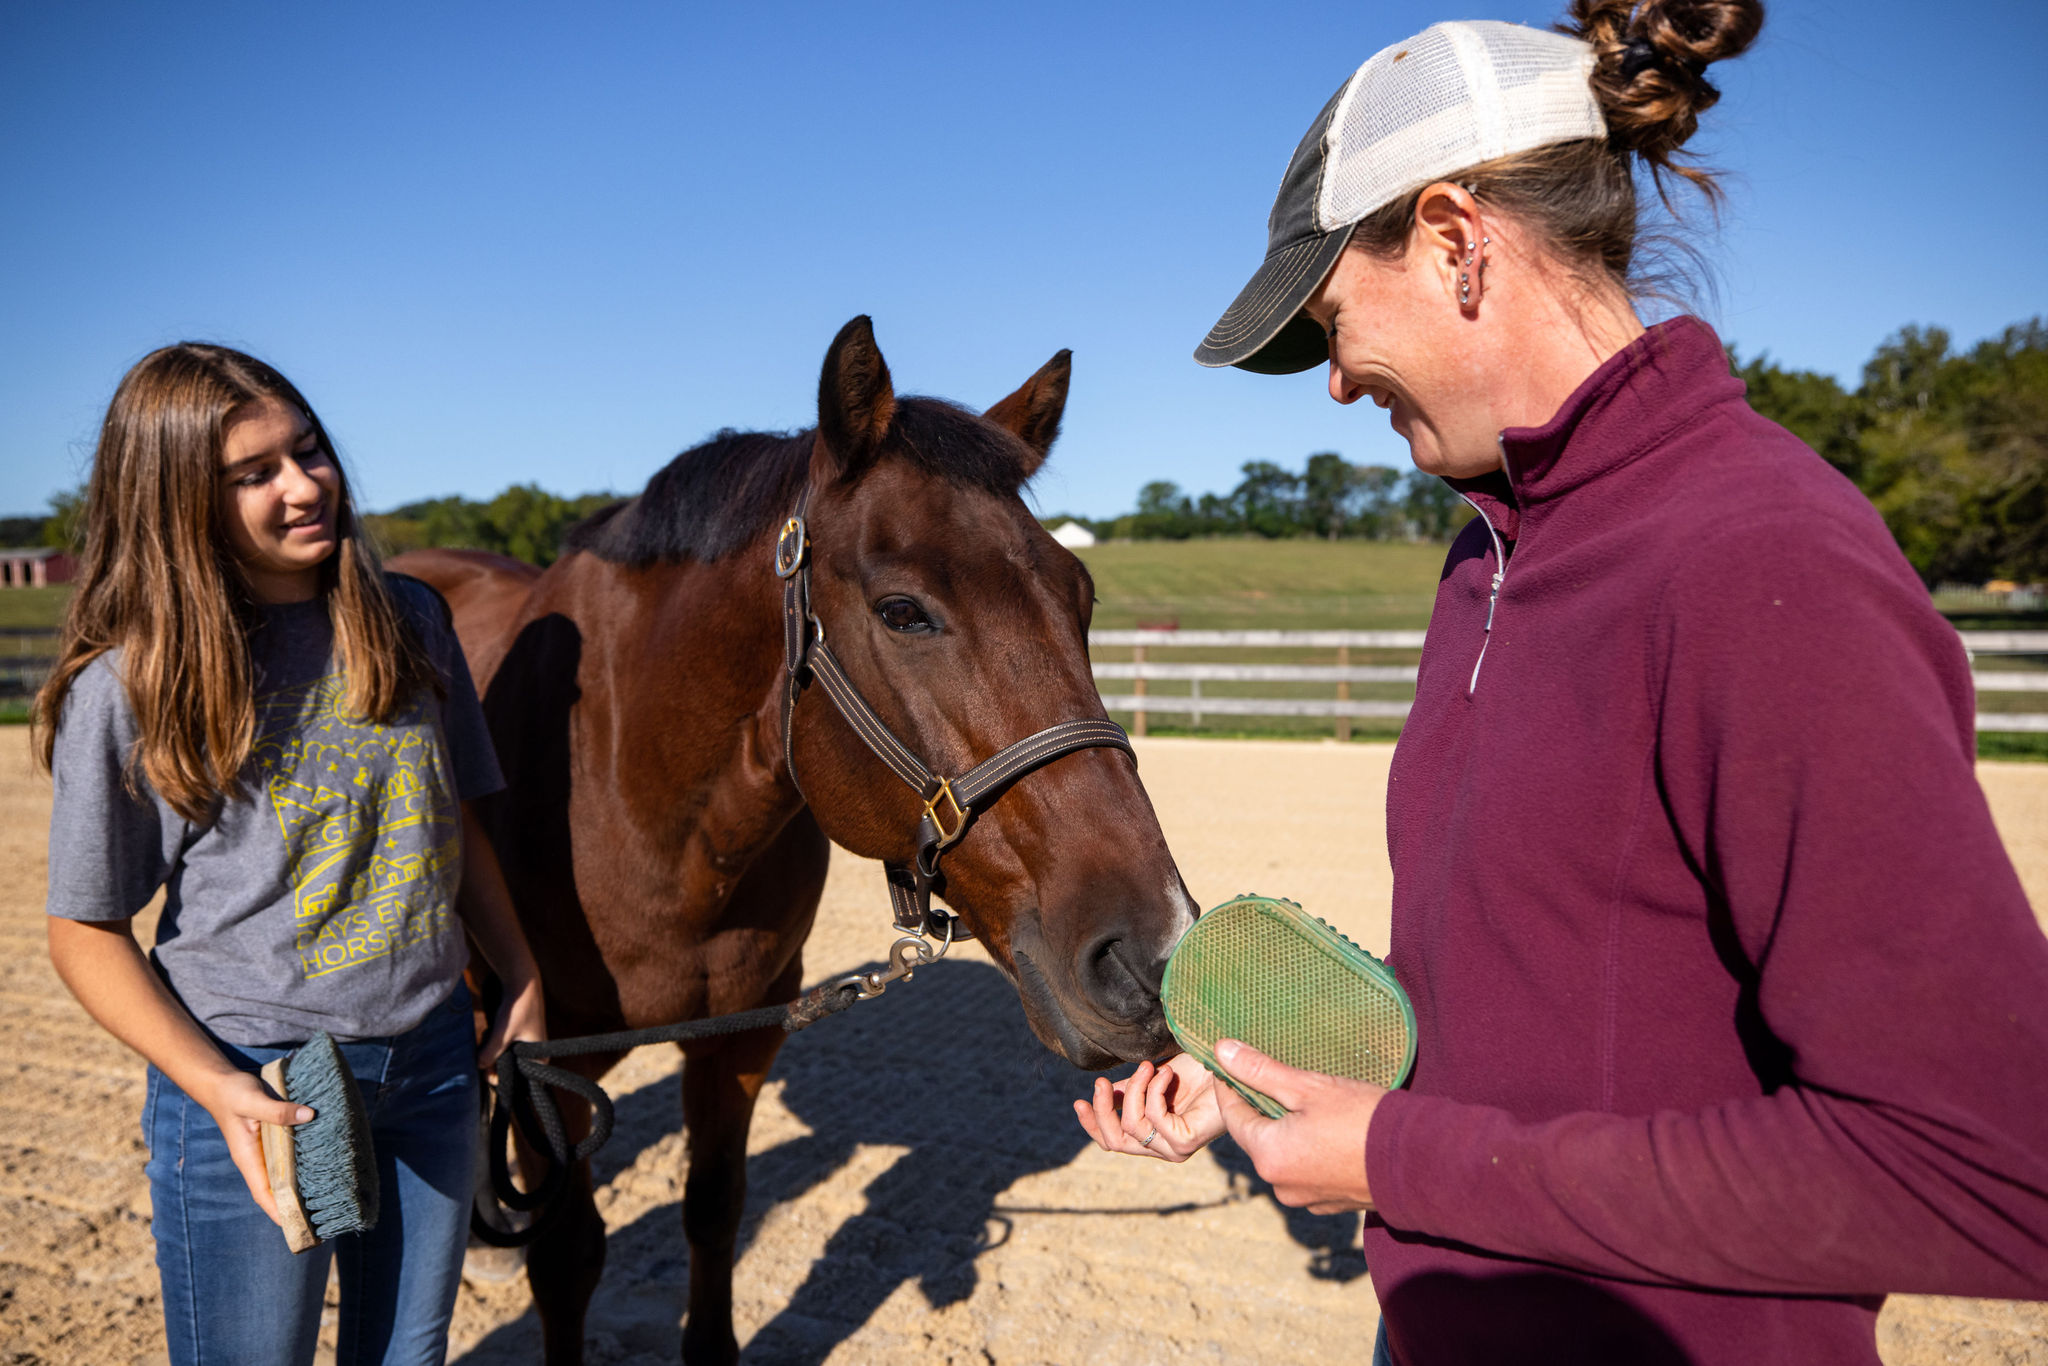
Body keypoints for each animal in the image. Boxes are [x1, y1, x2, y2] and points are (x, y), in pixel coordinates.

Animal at [392, 316, 1196, 1365]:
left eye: (1082, 596)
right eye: (903, 611)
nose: (1153, 957)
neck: (643, 803)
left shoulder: (743, 1036)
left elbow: (713, 1211)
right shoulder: (549, 1064)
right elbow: (568, 1257)